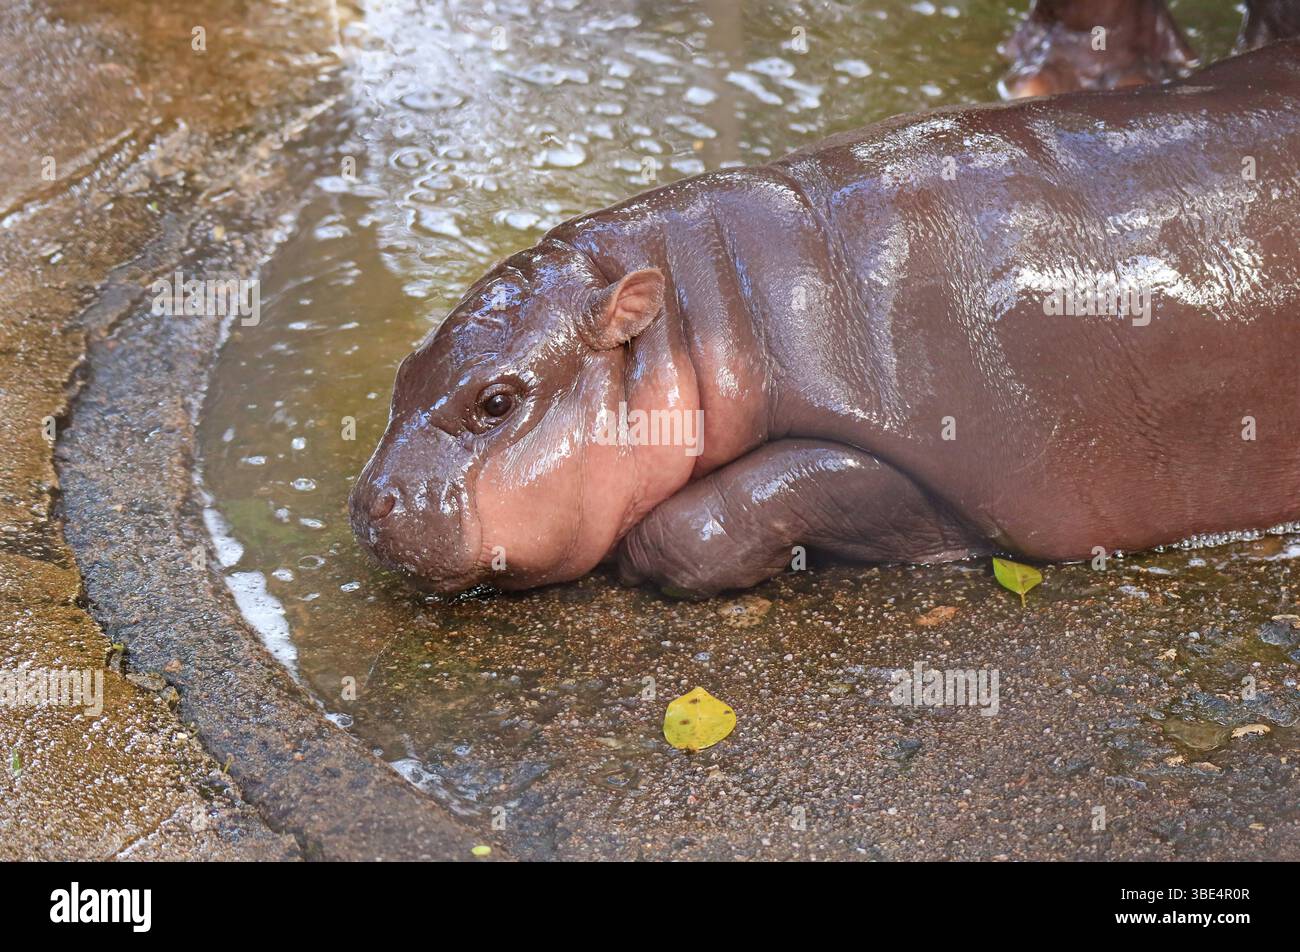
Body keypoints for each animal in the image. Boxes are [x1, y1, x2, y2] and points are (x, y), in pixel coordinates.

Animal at [350, 40, 1300, 597]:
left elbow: (699, 525)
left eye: (497, 401)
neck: (710, 302)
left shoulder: (924, 453)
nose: (368, 504)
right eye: (403, 370)